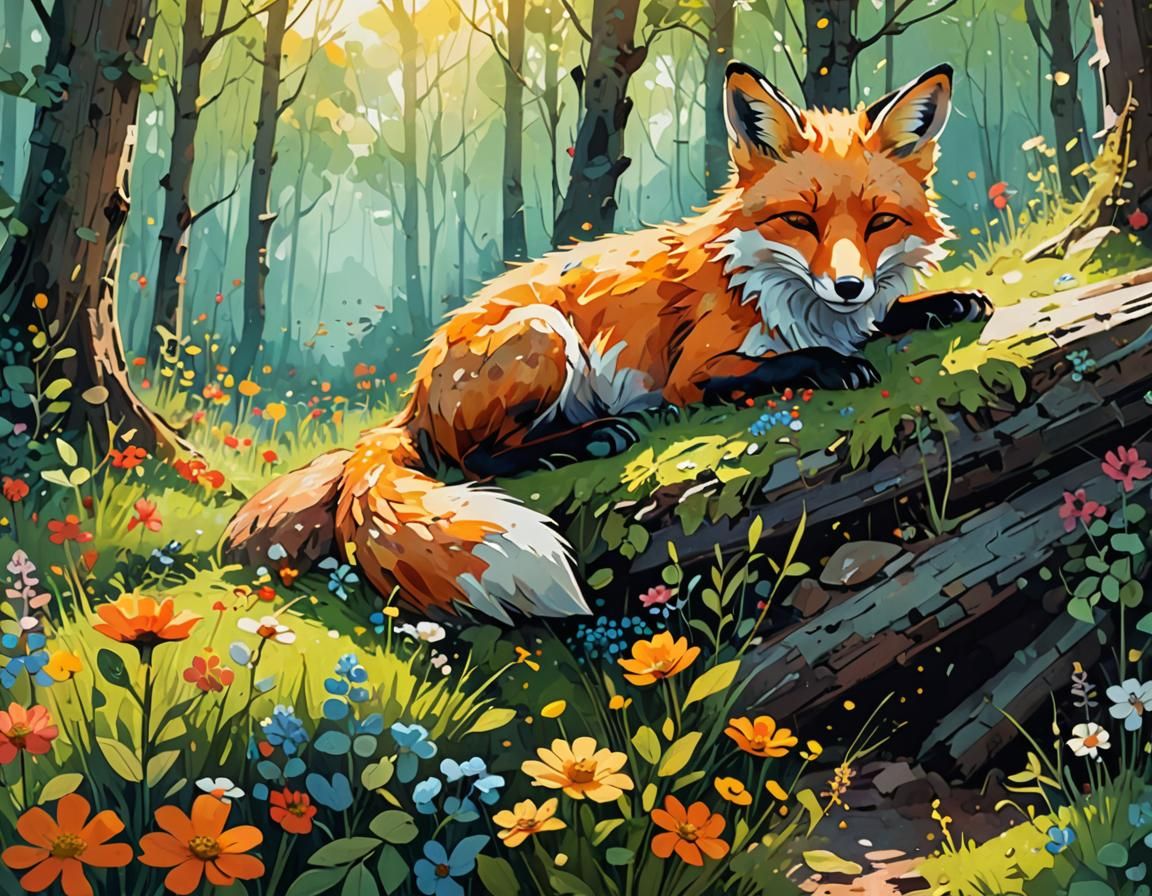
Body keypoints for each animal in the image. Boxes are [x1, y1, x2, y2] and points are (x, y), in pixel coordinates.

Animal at [224, 61, 992, 622]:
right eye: (800, 221)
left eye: (880, 222)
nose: (849, 285)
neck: (774, 286)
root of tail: (410, 403)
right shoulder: (697, 370)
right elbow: (788, 362)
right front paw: (837, 363)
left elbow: (886, 319)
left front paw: (944, 304)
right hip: (545, 335)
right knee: (478, 458)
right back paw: (591, 437)